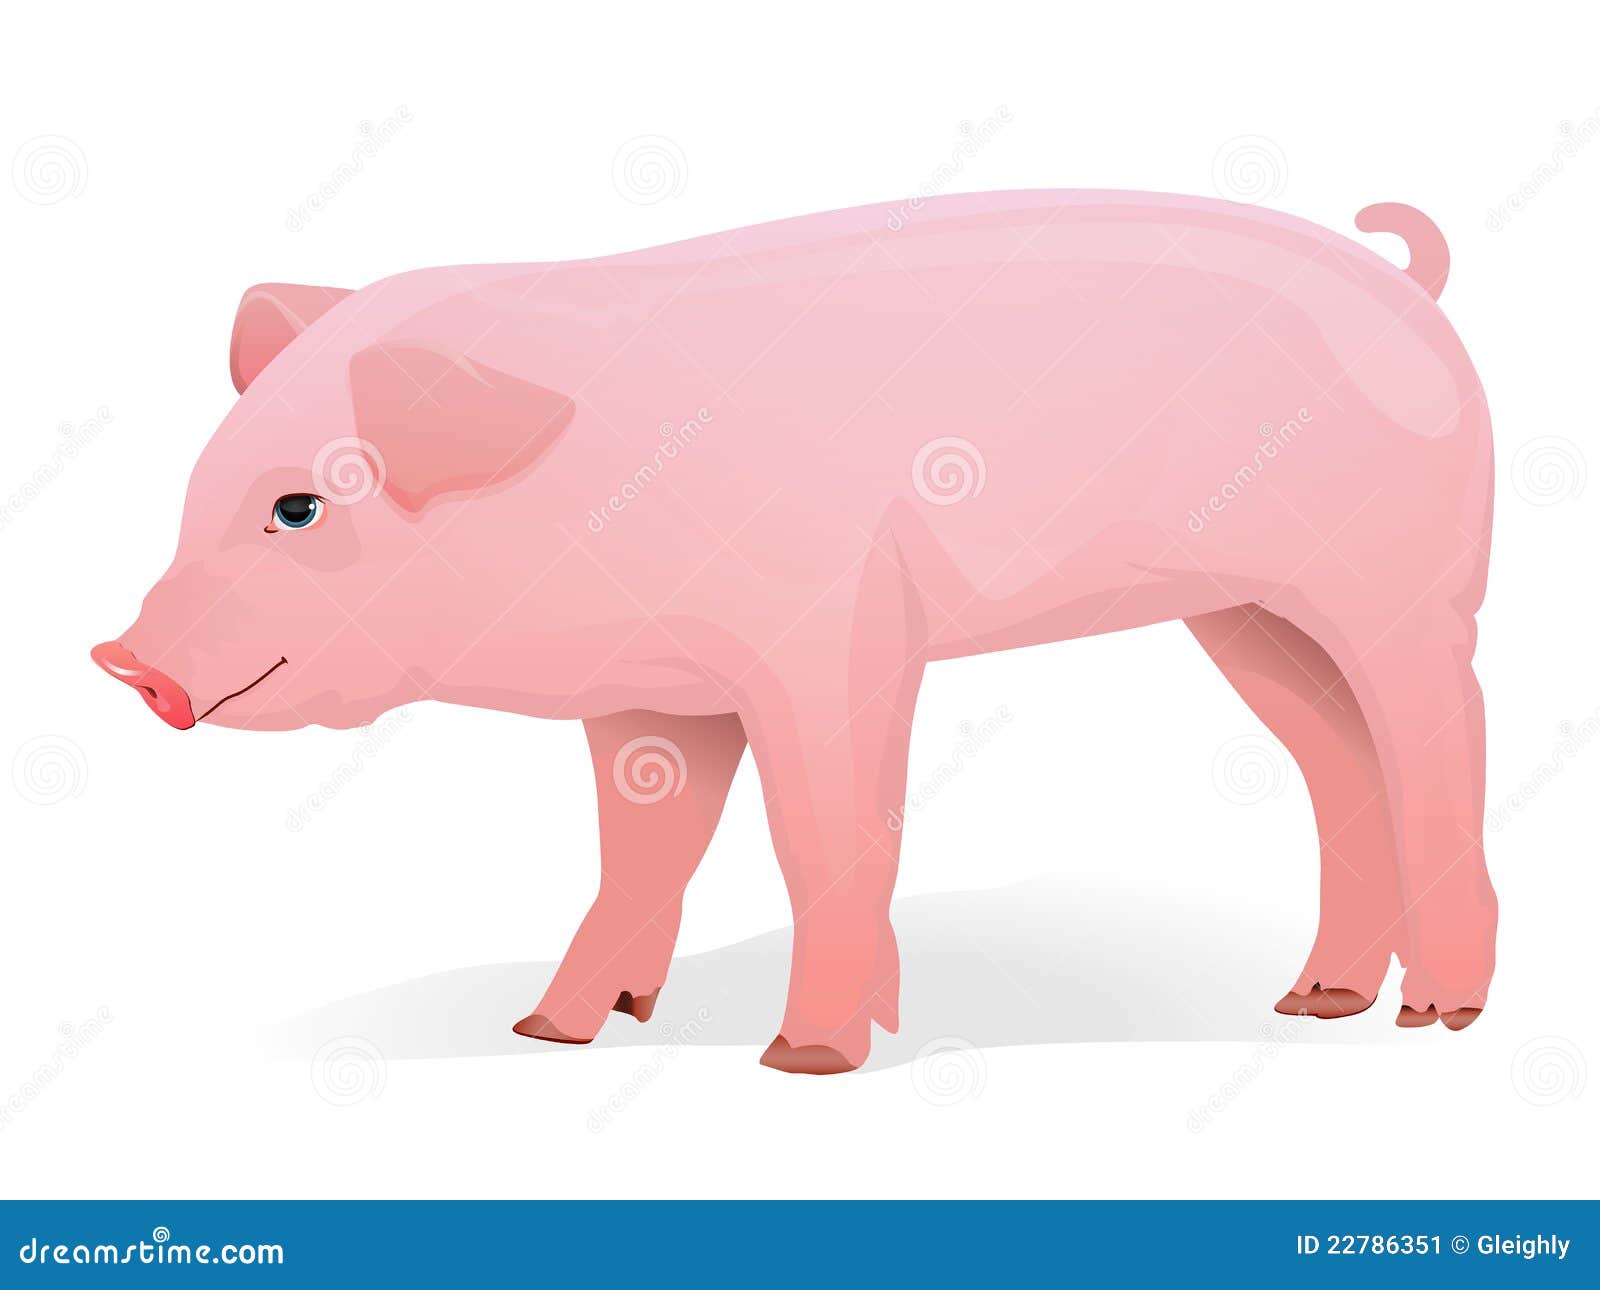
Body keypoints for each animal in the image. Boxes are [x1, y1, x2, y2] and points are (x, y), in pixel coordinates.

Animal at [92, 190, 1496, 1073]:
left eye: (300, 506)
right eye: (200, 488)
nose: (124, 662)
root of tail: (1410, 285)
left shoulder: (838, 635)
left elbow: (823, 832)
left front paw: (805, 1060)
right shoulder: (650, 695)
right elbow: (641, 848)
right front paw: (551, 1035)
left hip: (1402, 585)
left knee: (1441, 740)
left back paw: (1435, 1017)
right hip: (1243, 617)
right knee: (1338, 763)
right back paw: (1316, 1003)